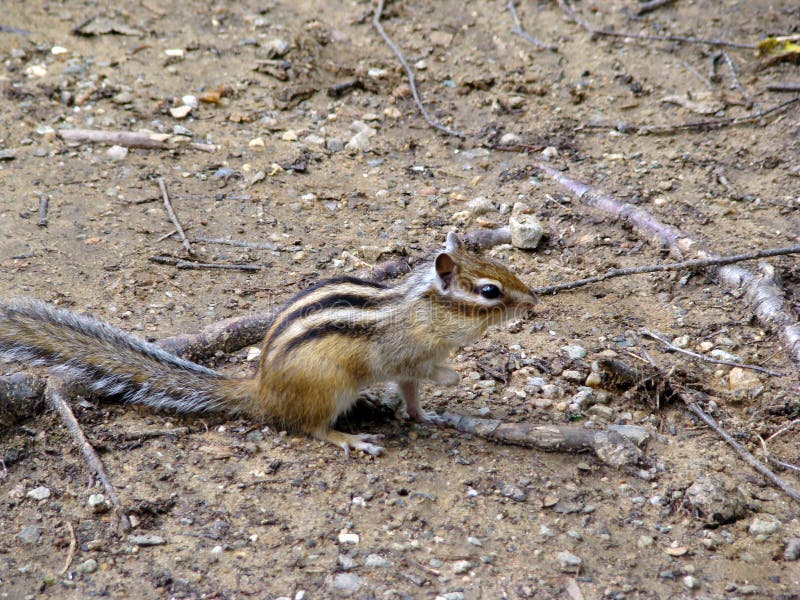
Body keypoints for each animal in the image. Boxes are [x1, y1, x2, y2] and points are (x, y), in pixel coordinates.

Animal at [0, 232, 536, 456]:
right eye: (489, 291)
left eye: (503, 267)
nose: (533, 300)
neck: (426, 310)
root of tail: (262, 391)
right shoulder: (404, 352)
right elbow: (420, 373)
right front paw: (453, 376)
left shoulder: (410, 369)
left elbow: (412, 397)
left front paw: (430, 415)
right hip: (327, 389)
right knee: (311, 428)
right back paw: (351, 438)